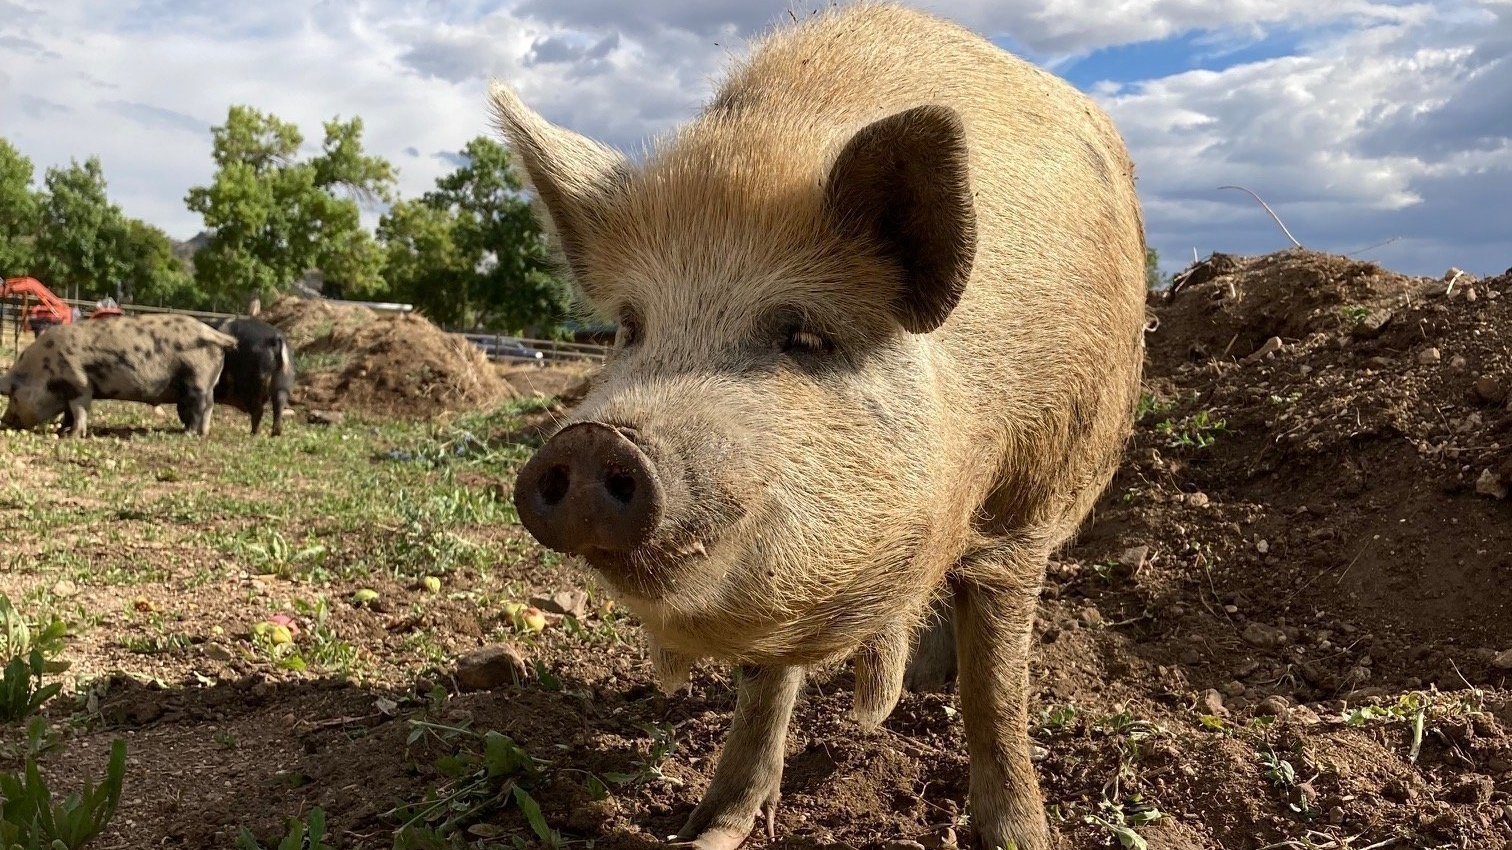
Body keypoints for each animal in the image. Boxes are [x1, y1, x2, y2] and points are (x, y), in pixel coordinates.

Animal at [0, 313, 238, 438]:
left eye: (14, 395)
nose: (4, 420)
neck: (42, 369)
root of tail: (215, 334)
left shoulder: (80, 383)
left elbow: (79, 410)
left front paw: (72, 435)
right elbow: (68, 412)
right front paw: (62, 430)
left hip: (198, 377)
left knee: (199, 406)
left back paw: (188, 433)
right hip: (206, 381)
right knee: (208, 406)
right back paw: (201, 433)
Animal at [497, 5, 1146, 849]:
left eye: (803, 335)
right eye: (631, 328)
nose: (591, 441)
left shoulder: (1030, 507)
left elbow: (998, 687)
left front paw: (1022, 837)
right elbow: (763, 686)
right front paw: (707, 831)